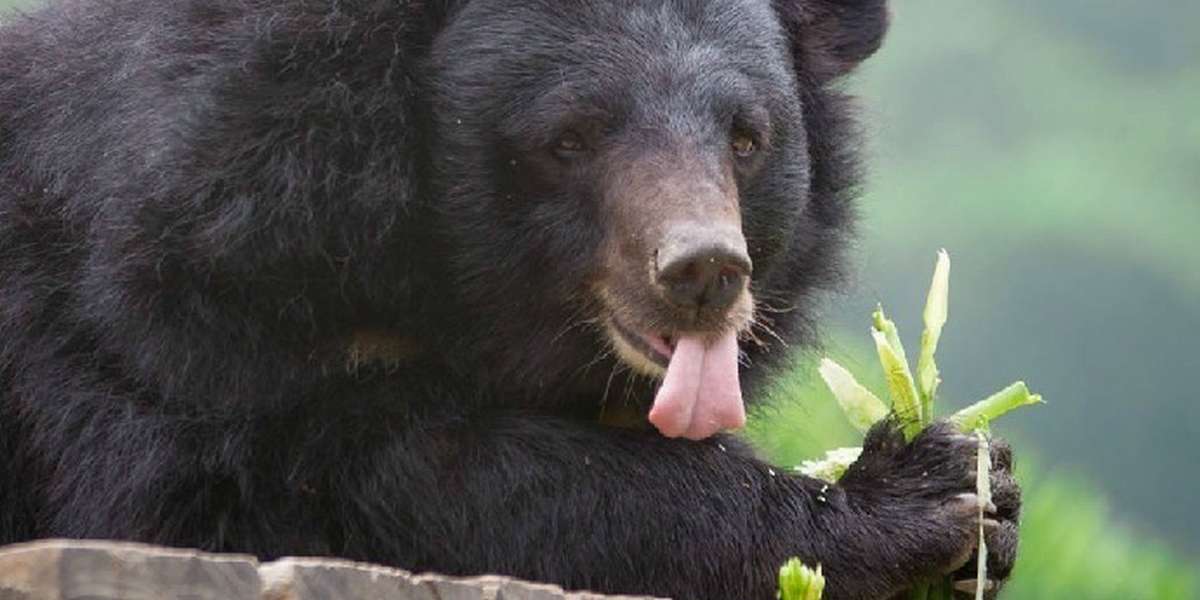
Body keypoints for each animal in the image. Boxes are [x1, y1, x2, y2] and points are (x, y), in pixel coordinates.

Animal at [0, 0, 1020, 599]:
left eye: (747, 138)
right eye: (570, 138)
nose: (704, 273)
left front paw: (985, 492)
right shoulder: (157, 323)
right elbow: (333, 482)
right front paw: (913, 498)